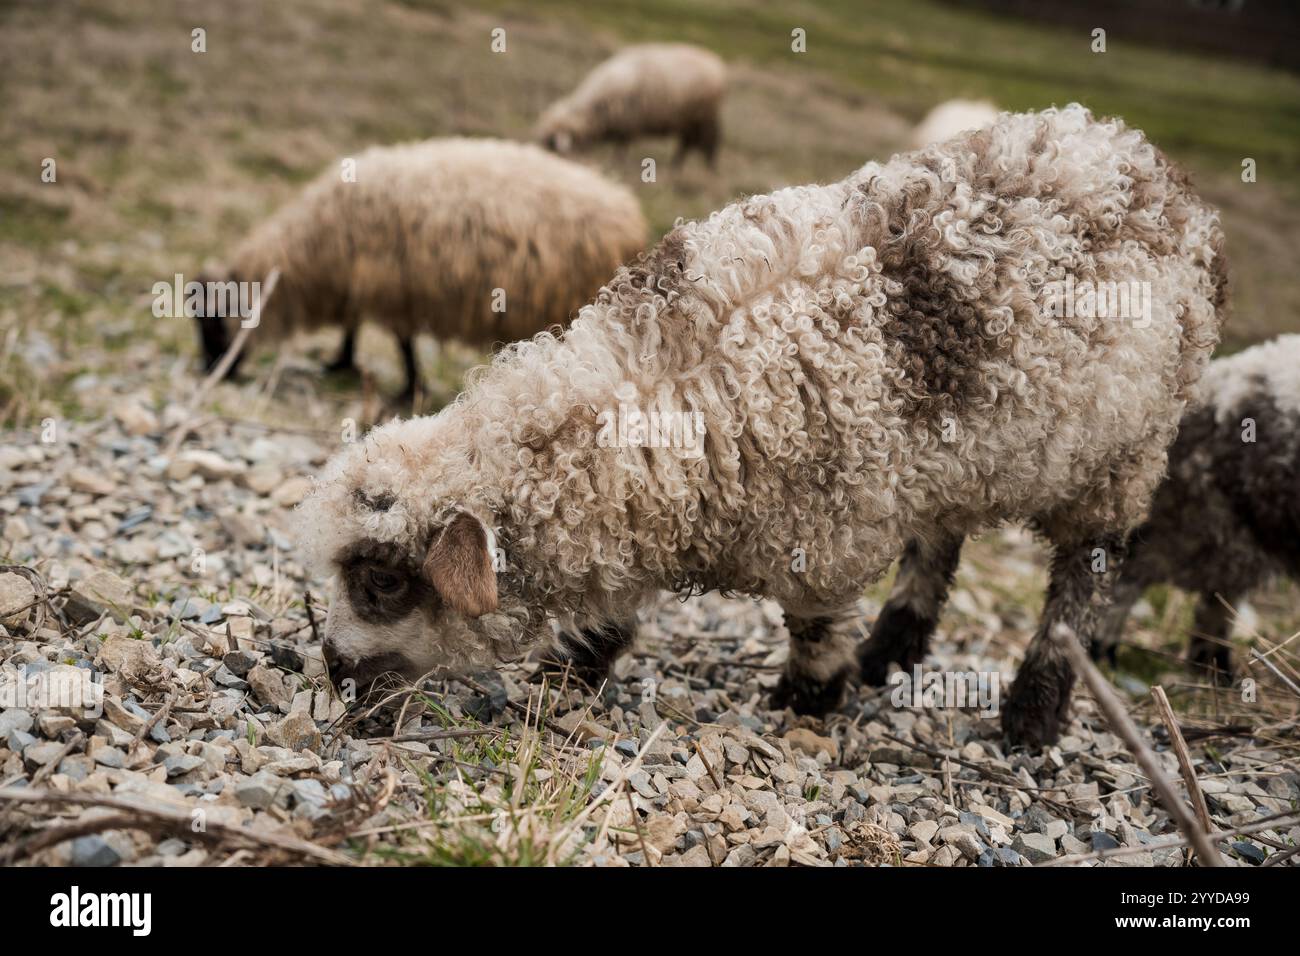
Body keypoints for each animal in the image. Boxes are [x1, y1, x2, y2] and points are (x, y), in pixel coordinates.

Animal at [192, 138, 648, 399]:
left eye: (214, 320)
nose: (211, 372)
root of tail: (627, 212)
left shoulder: (391, 290)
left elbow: (404, 346)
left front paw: (408, 389)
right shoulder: (365, 284)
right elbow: (354, 327)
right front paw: (341, 363)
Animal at [297, 105, 1226, 749]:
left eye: (383, 583)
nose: (336, 673)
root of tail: (1139, 159)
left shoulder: (831, 536)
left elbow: (812, 623)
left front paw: (807, 697)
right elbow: (622, 595)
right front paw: (578, 664)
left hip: (1123, 457)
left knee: (1082, 577)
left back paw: (1032, 713)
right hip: (963, 456)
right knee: (942, 539)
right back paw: (893, 651)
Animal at [535, 44, 726, 167]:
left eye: (553, 149)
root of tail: (716, 63)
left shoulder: (627, 126)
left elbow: (621, 151)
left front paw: (617, 165)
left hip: (705, 117)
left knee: (710, 142)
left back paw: (707, 171)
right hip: (688, 120)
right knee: (686, 145)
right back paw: (675, 167)